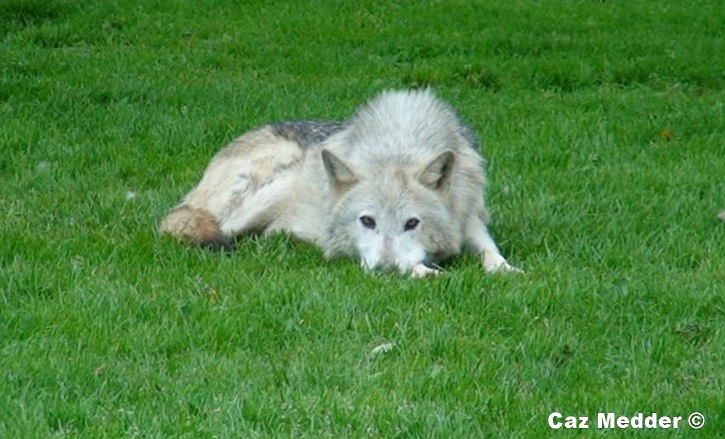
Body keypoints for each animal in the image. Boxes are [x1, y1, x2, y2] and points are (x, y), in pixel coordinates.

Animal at [160, 89, 519, 277]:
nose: (384, 270)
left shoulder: (467, 213)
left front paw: (504, 268)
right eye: (367, 221)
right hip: (275, 186)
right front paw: (423, 271)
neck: (398, 145)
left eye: (412, 223)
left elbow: (488, 247)